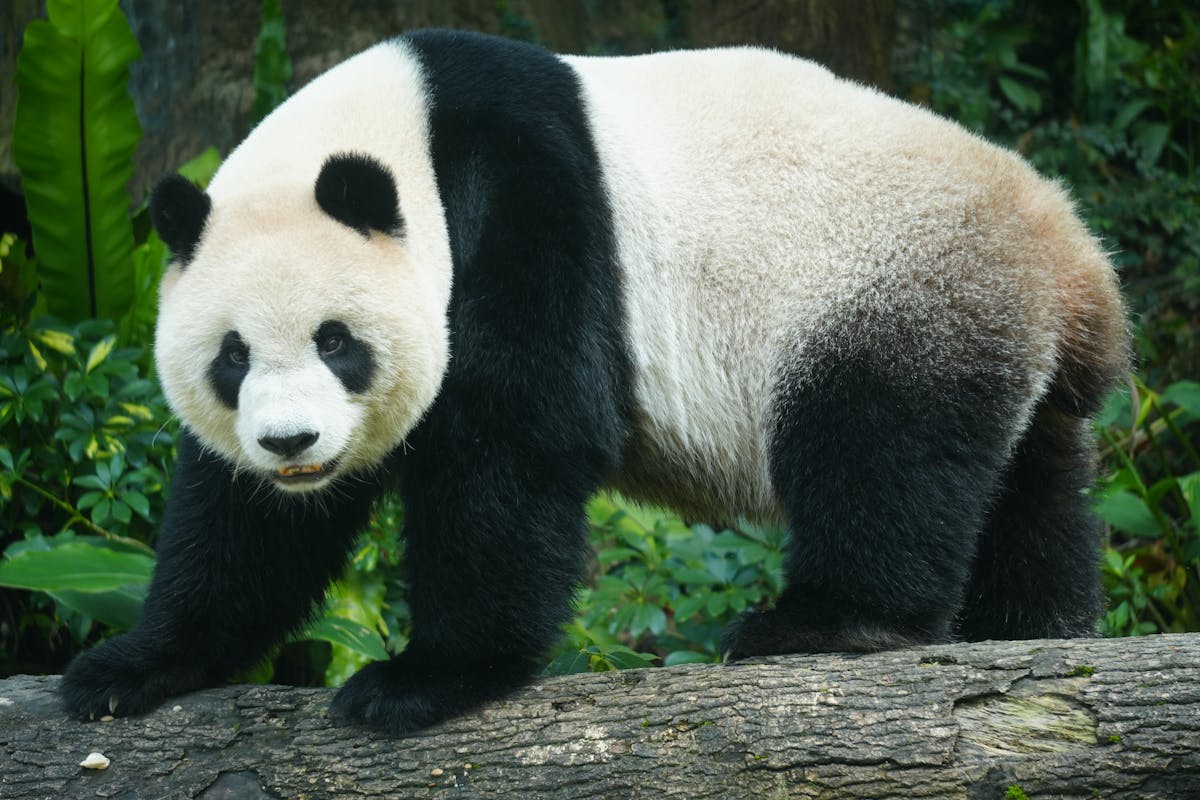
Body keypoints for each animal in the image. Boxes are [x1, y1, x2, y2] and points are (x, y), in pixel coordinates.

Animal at [61, 28, 1128, 734]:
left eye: (337, 343)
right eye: (232, 356)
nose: (291, 444)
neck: (402, 124)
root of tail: (1072, 258)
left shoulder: (524, 195)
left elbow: (518, 430)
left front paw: (423, 679)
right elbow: (249, 524)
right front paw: (132, 667)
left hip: (885, 286)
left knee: (881, 452)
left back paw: (825, 625)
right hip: (997, 336)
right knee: (1030, 491)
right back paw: (1031, 629)